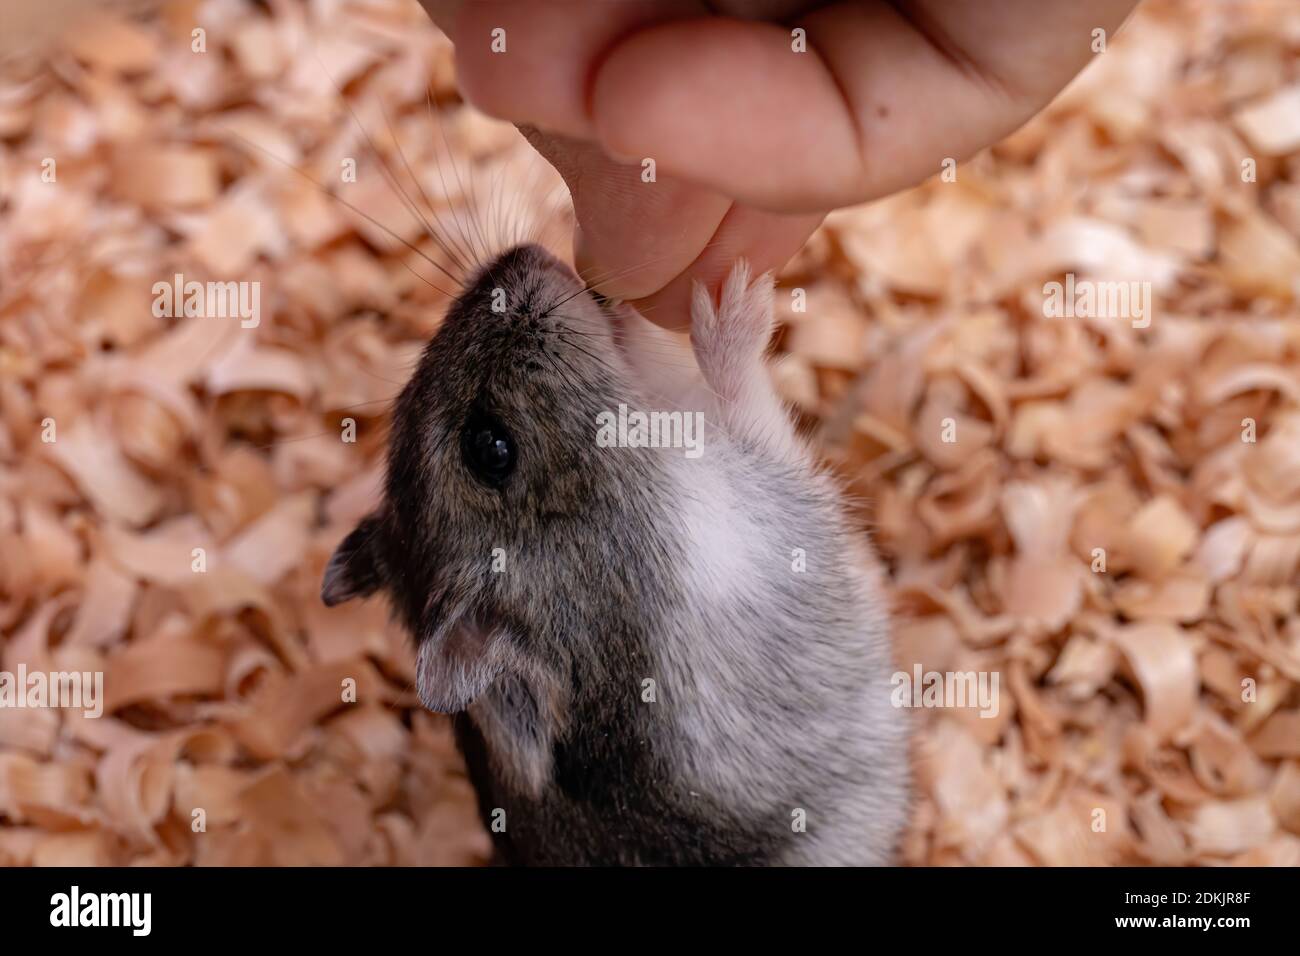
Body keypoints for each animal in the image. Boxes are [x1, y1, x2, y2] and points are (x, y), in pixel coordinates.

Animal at [321, 243, 910, 865]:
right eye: (489, 449)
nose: (519, 255)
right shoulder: (752, 509)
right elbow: (737, 393)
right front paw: (733, 303)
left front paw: (625, 313)